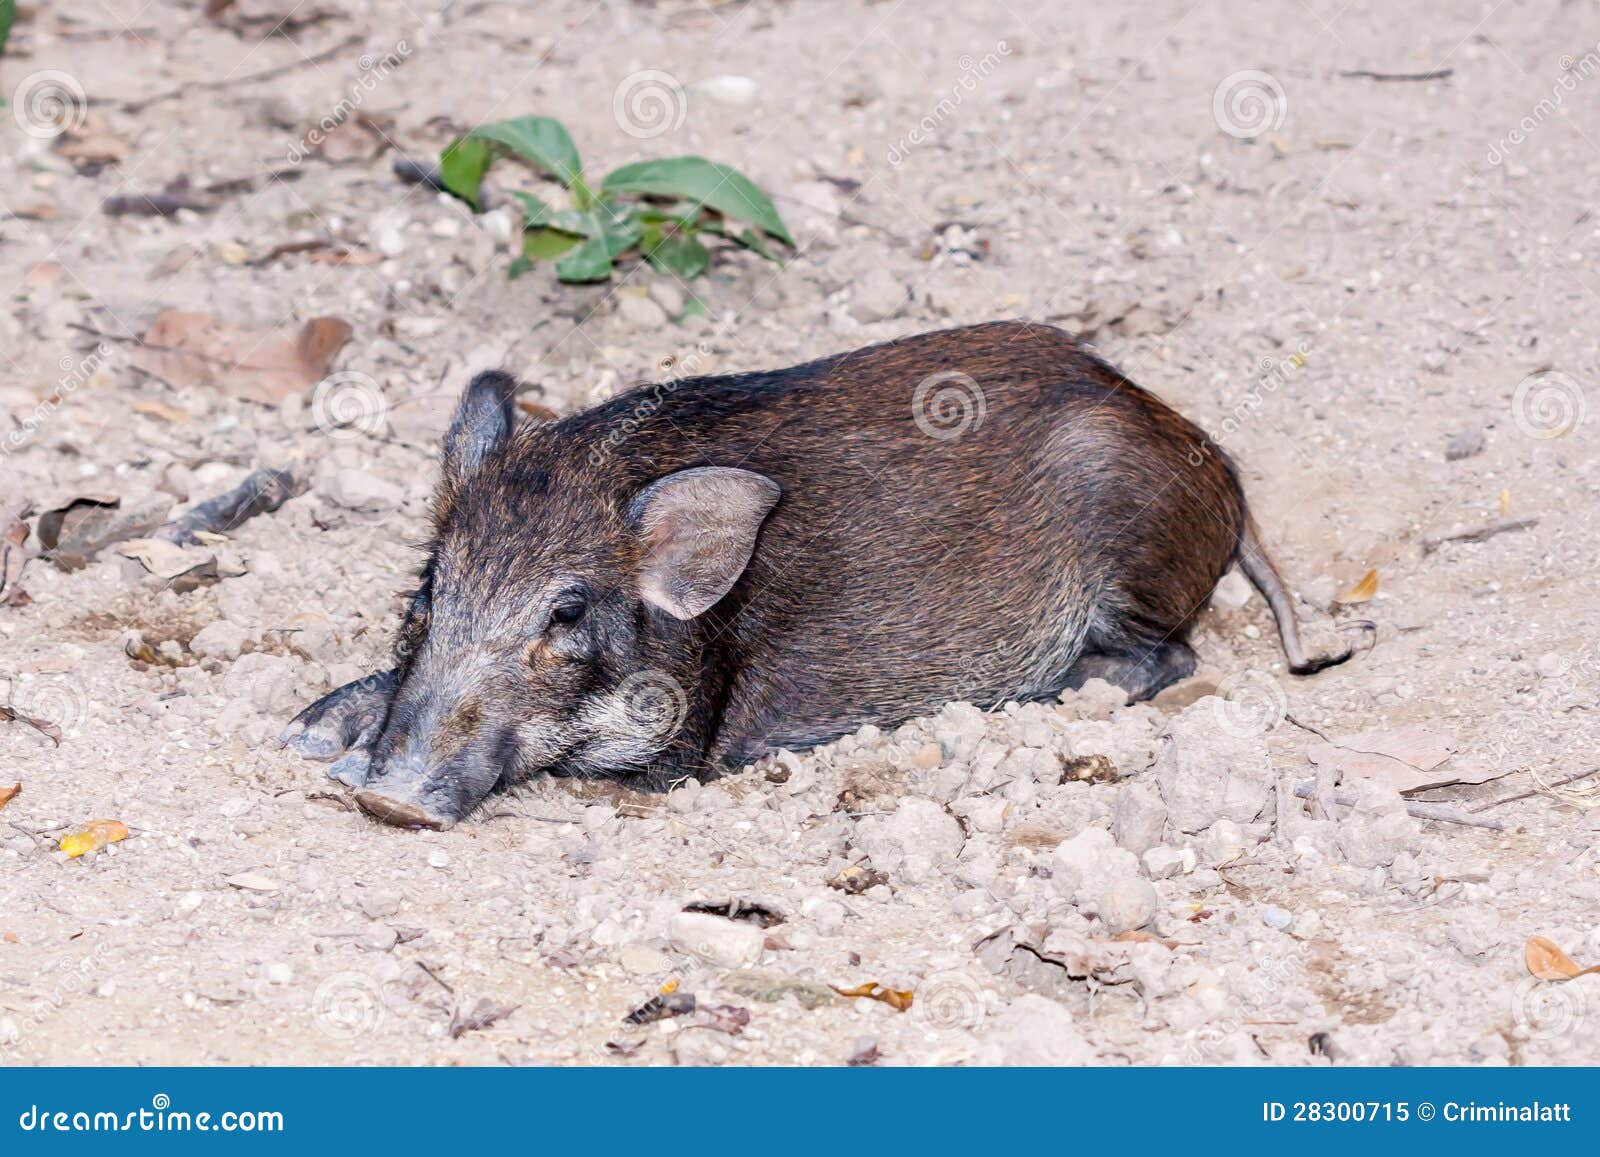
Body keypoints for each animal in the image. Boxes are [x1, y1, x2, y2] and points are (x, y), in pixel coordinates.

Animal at [280, 321, 1365, 828]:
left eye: (566, 611)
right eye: (427, 594)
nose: (389, 798)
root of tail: (1215, 466)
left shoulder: (685, 748)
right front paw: (307, 735)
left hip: (1137, 558)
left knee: (1169, 658)